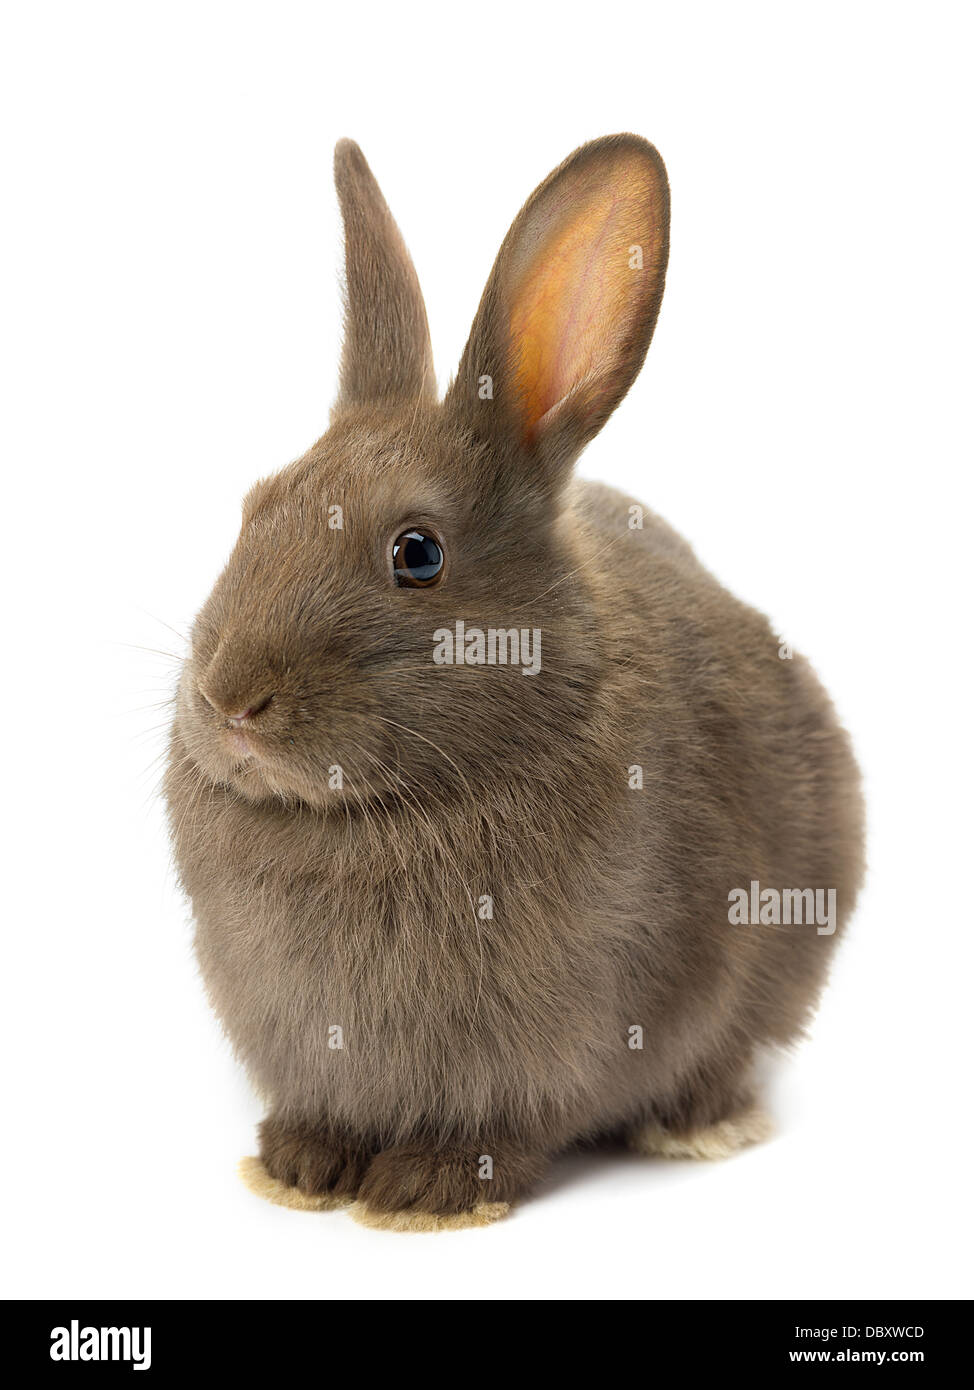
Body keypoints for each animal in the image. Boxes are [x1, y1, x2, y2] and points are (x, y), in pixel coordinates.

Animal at [165, 134, 864, 1231]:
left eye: (417, 553)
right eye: (255, 506)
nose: (231, 703)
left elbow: (510, 1117)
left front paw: (428, 1188)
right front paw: (301, 1164)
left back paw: (697, 1124)